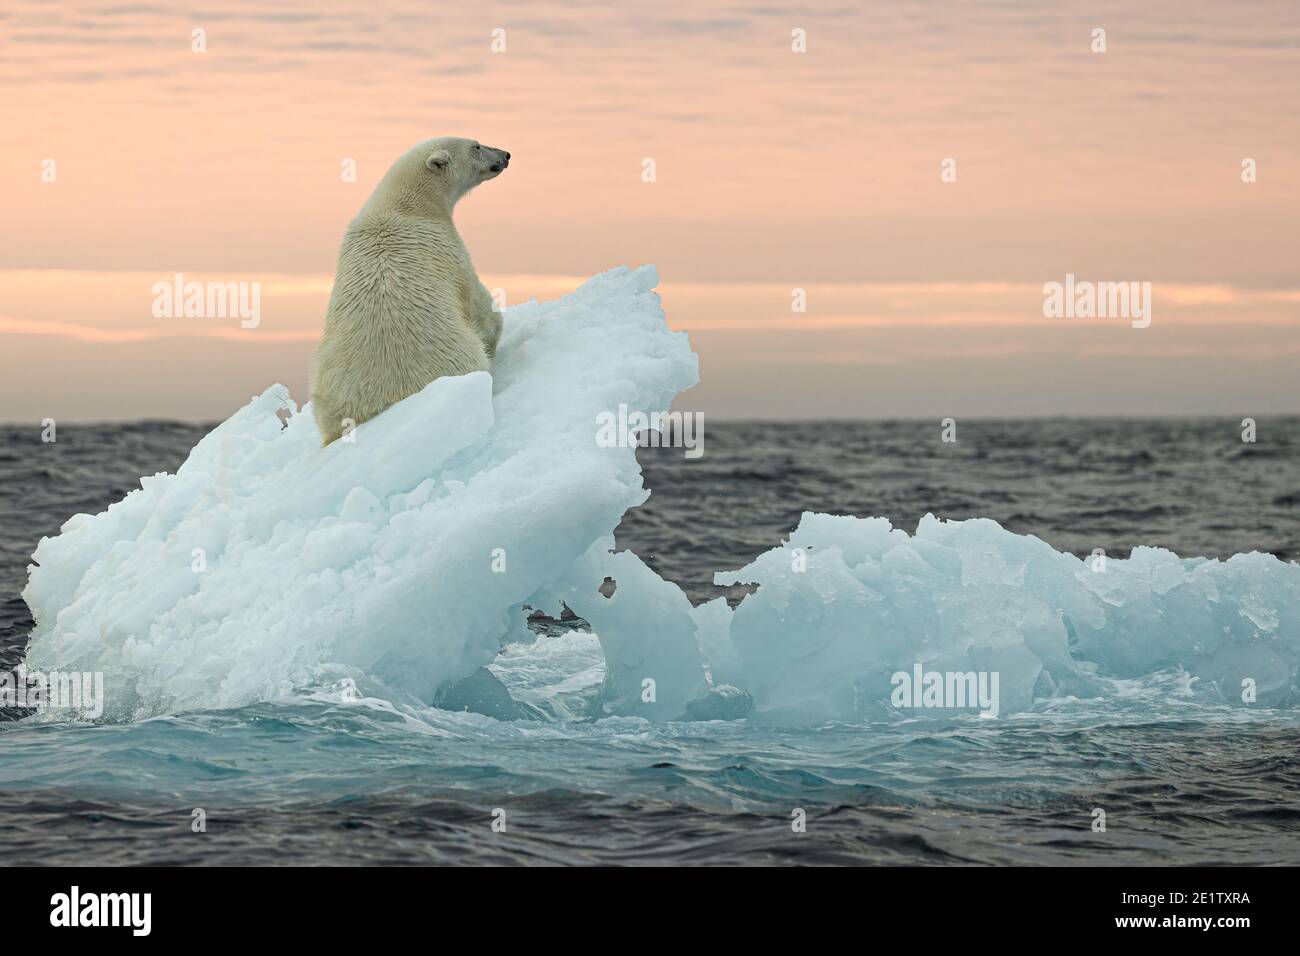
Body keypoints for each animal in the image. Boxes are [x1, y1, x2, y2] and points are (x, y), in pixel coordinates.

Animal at [309, 136, 511, 445]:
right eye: (476, 146)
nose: (505, 155)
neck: (403, 205)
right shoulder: (447, 247)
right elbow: (479, 305)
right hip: (455, 355)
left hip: (325, 384)